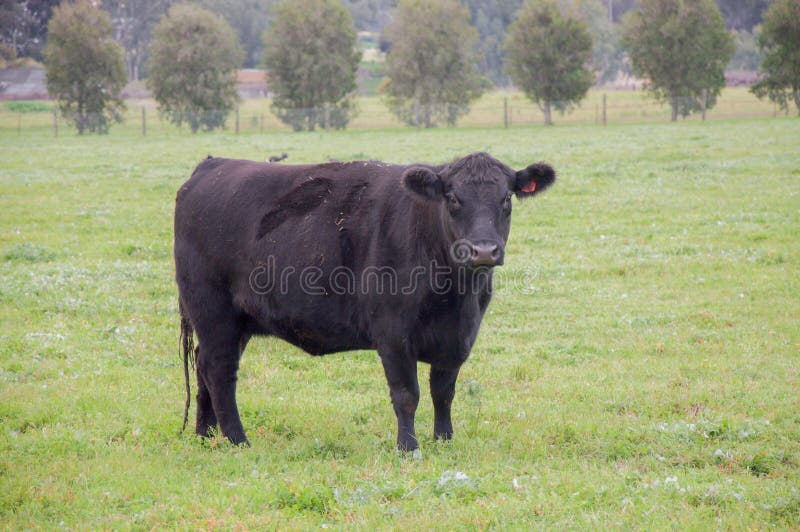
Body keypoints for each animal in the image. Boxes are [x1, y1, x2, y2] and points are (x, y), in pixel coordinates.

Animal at [174, 152, 555, 451]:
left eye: (506, 200)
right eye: (452, 198)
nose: (483, 251)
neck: (456, 296)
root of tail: (213, 165)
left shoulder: (458, 338)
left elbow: (443, 392)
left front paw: (444, 440)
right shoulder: (393, 334)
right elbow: (407, 394)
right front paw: (408, 447)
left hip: (235, 322)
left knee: (204, 366)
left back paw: (206, 434)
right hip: (213, 312)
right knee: (219, 371)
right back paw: (238, 439)